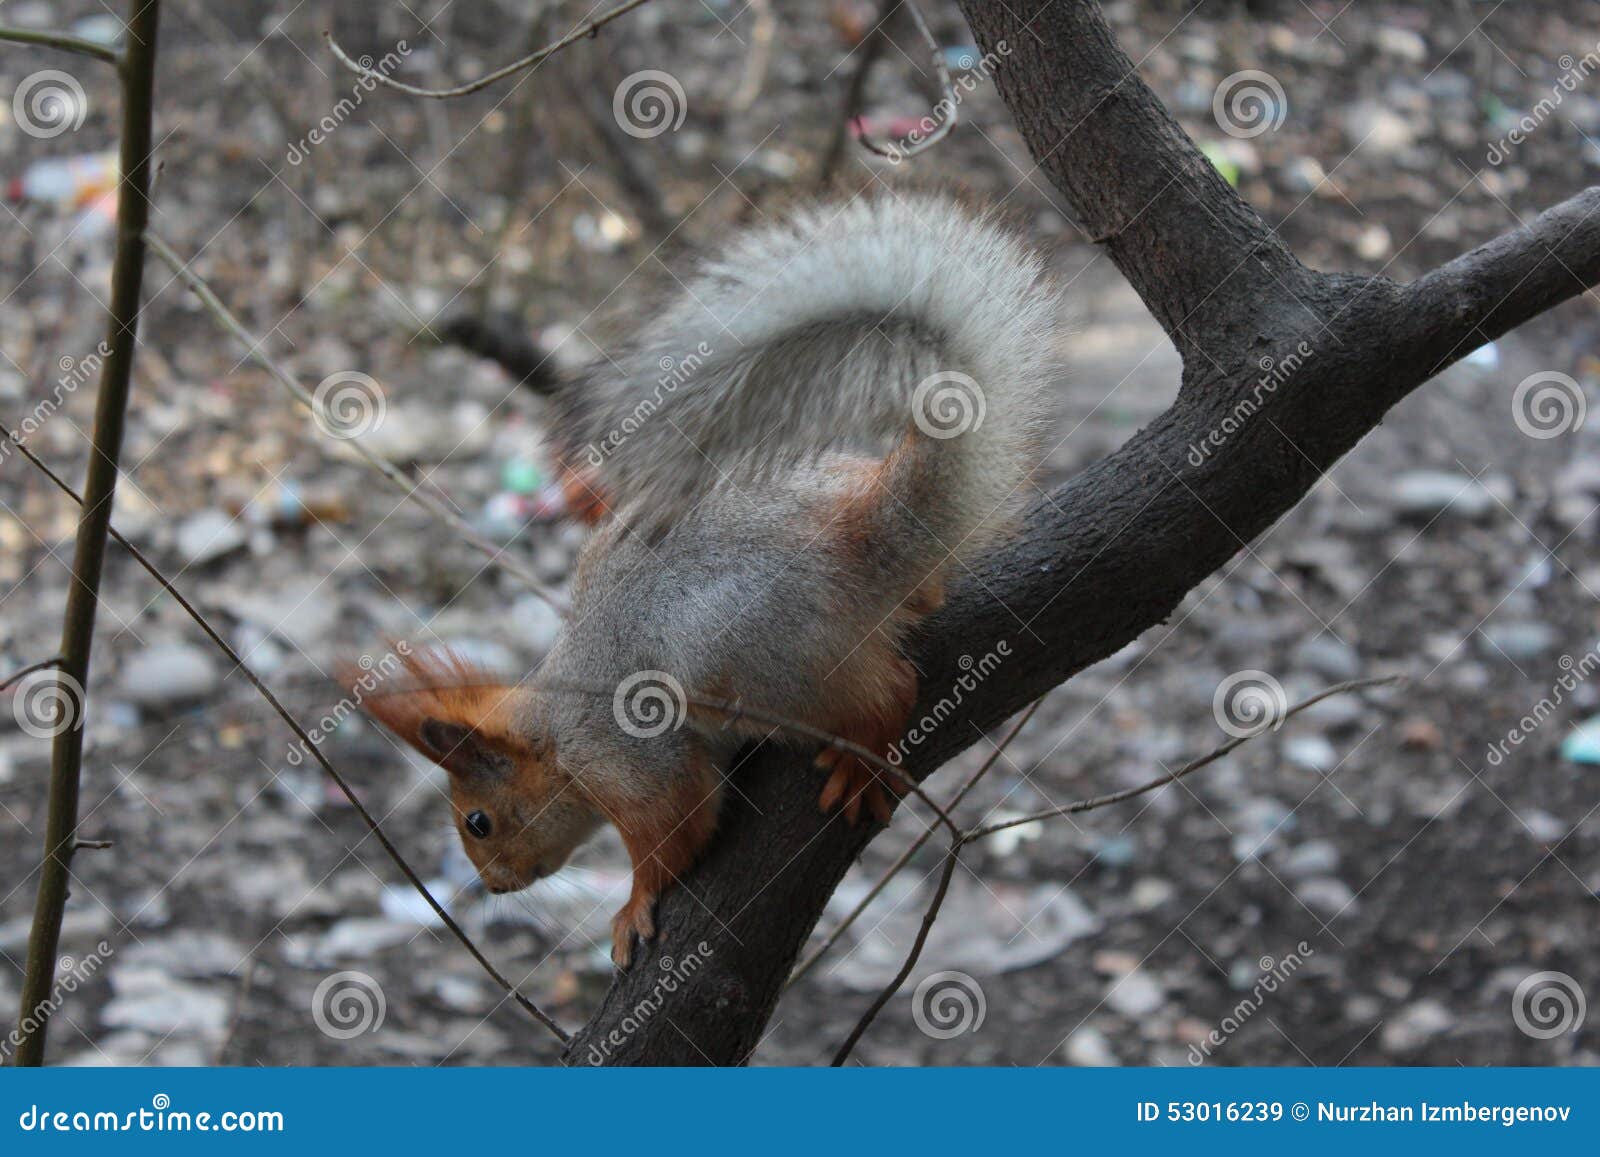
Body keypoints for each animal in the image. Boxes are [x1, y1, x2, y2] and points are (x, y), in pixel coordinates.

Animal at [355, 193, 1059, 966]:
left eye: (478, 821)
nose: (493, 885)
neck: (553, 729)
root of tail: (856, 536)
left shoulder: (624, 759)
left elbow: (676, 828)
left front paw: (632, 905)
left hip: (735, 657)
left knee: (891, 689)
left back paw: (863, 759)